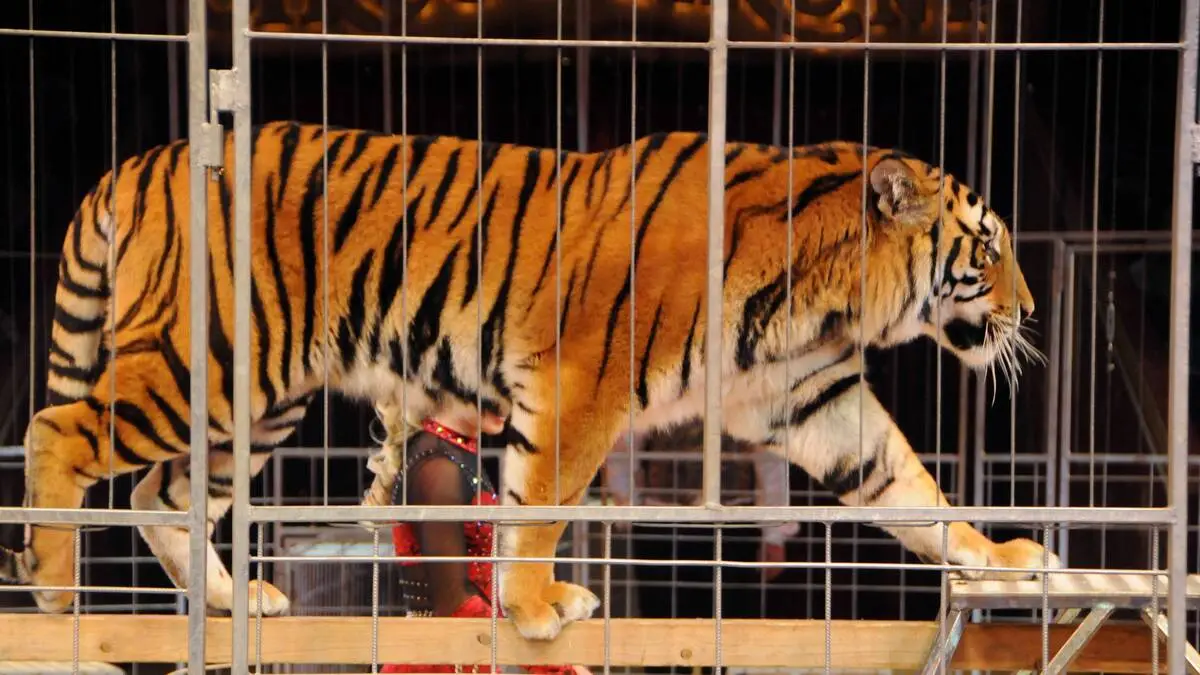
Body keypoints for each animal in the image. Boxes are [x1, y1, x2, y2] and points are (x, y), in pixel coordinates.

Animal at [1, 120, 1061, 639]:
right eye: (989, 249)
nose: (1032, 310)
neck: (830, 292)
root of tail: (143, 160)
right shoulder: (585, 380)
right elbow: (540, 502)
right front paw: (539, 606)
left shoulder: (815, 396)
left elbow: (910, 487)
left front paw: (1002, 558)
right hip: (210, 361)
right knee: (61, 432)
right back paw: (52, 588)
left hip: (257, 401)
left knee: (159, 491)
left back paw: (231, 603)